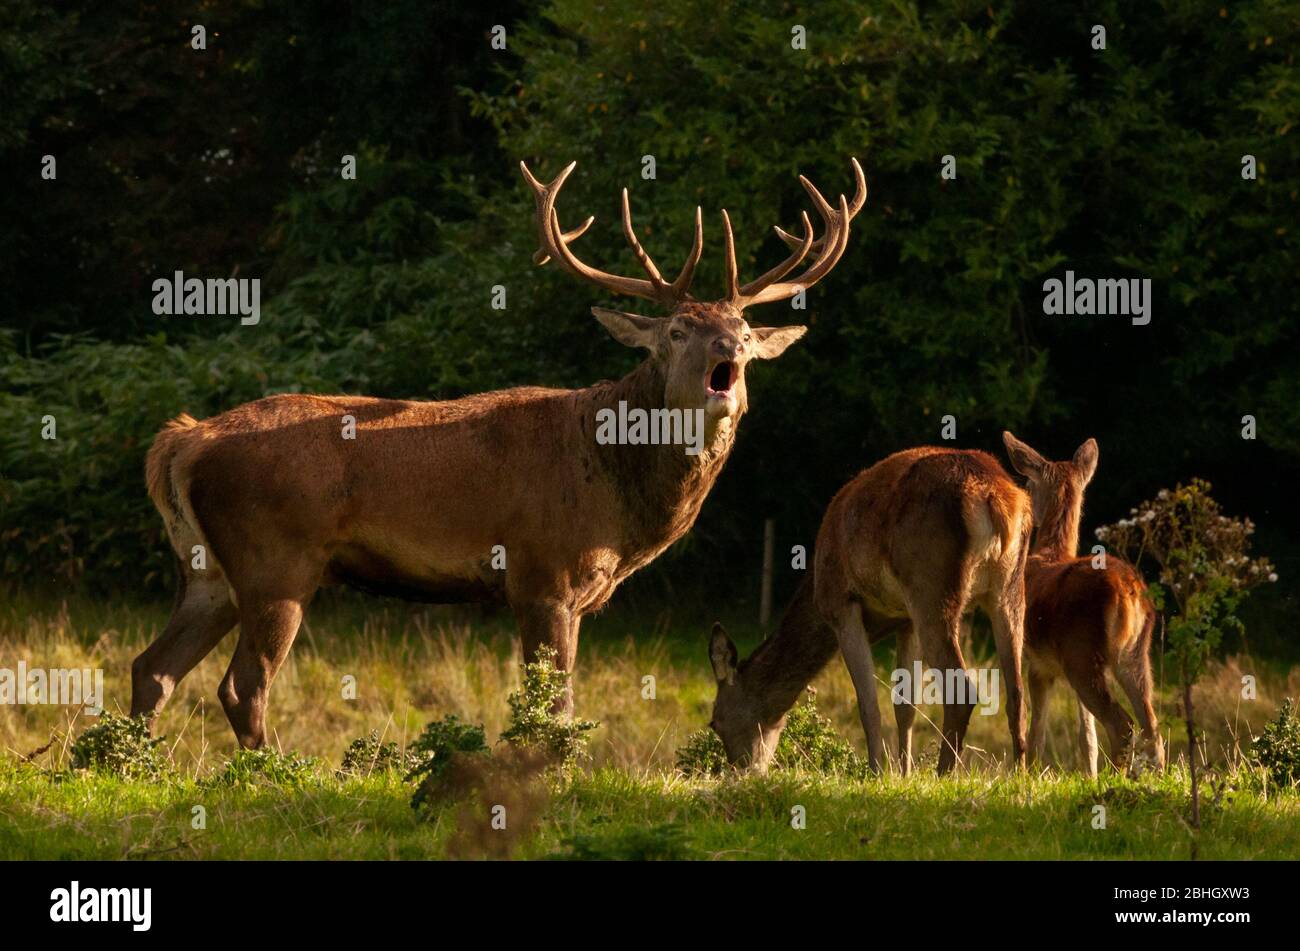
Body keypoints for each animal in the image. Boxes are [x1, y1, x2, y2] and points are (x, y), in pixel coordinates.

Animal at [130, 157, 867, 749]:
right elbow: (555, 707)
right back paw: (272, 773)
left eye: (743, 325)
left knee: (153, 666)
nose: (729, 353)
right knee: (241, 685)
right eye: (679, 329)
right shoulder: (542, 572)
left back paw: (136, 766)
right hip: (276, 559)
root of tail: (185, 438)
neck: (614, 485)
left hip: (208, 570)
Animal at [709, 446, 1032, 774]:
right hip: (1007, 588)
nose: (739, 771)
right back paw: (1019, 772)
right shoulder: (905, 619)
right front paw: (904, 772)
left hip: (931, 586)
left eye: (716, 723)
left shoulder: (841, 607)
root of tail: (997, 498)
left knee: (963, 693)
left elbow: (868, 703)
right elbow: (905, 705)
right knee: (1016, 692)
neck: (816, 589)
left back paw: (944, 773)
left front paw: (877, 772)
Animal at [1001, 433, 1164, 776]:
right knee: (1151, 725)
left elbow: (1038, 731)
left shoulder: (1038, 663)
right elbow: (1086, 736)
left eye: (1029, 483)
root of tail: (1129, 592)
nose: (1029, 505)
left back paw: (1117, 778)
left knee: (1123, 724)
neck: (1049, 553)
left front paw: (1028, 775)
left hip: (1082, 653)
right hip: (1135, 654)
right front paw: (1088, 774)